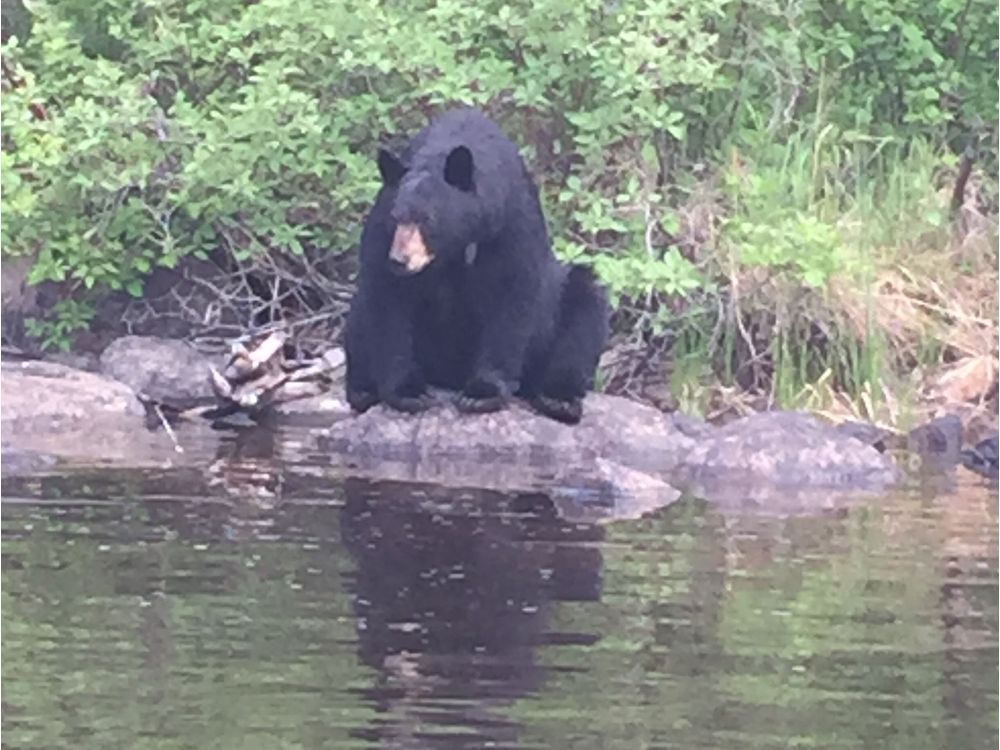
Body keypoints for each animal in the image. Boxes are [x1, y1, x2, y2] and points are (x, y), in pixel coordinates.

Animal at [344, 108, 609, 424]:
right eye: (397, 218)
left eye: (427, 219)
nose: (399, 259)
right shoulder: (382, 229)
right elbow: (387, 299)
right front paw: (409, 392)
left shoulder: (510, 222)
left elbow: (513, 294)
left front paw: (482, 393)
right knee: (359, 319)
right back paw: (362, 390)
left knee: (585, 308)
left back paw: (559, 399)